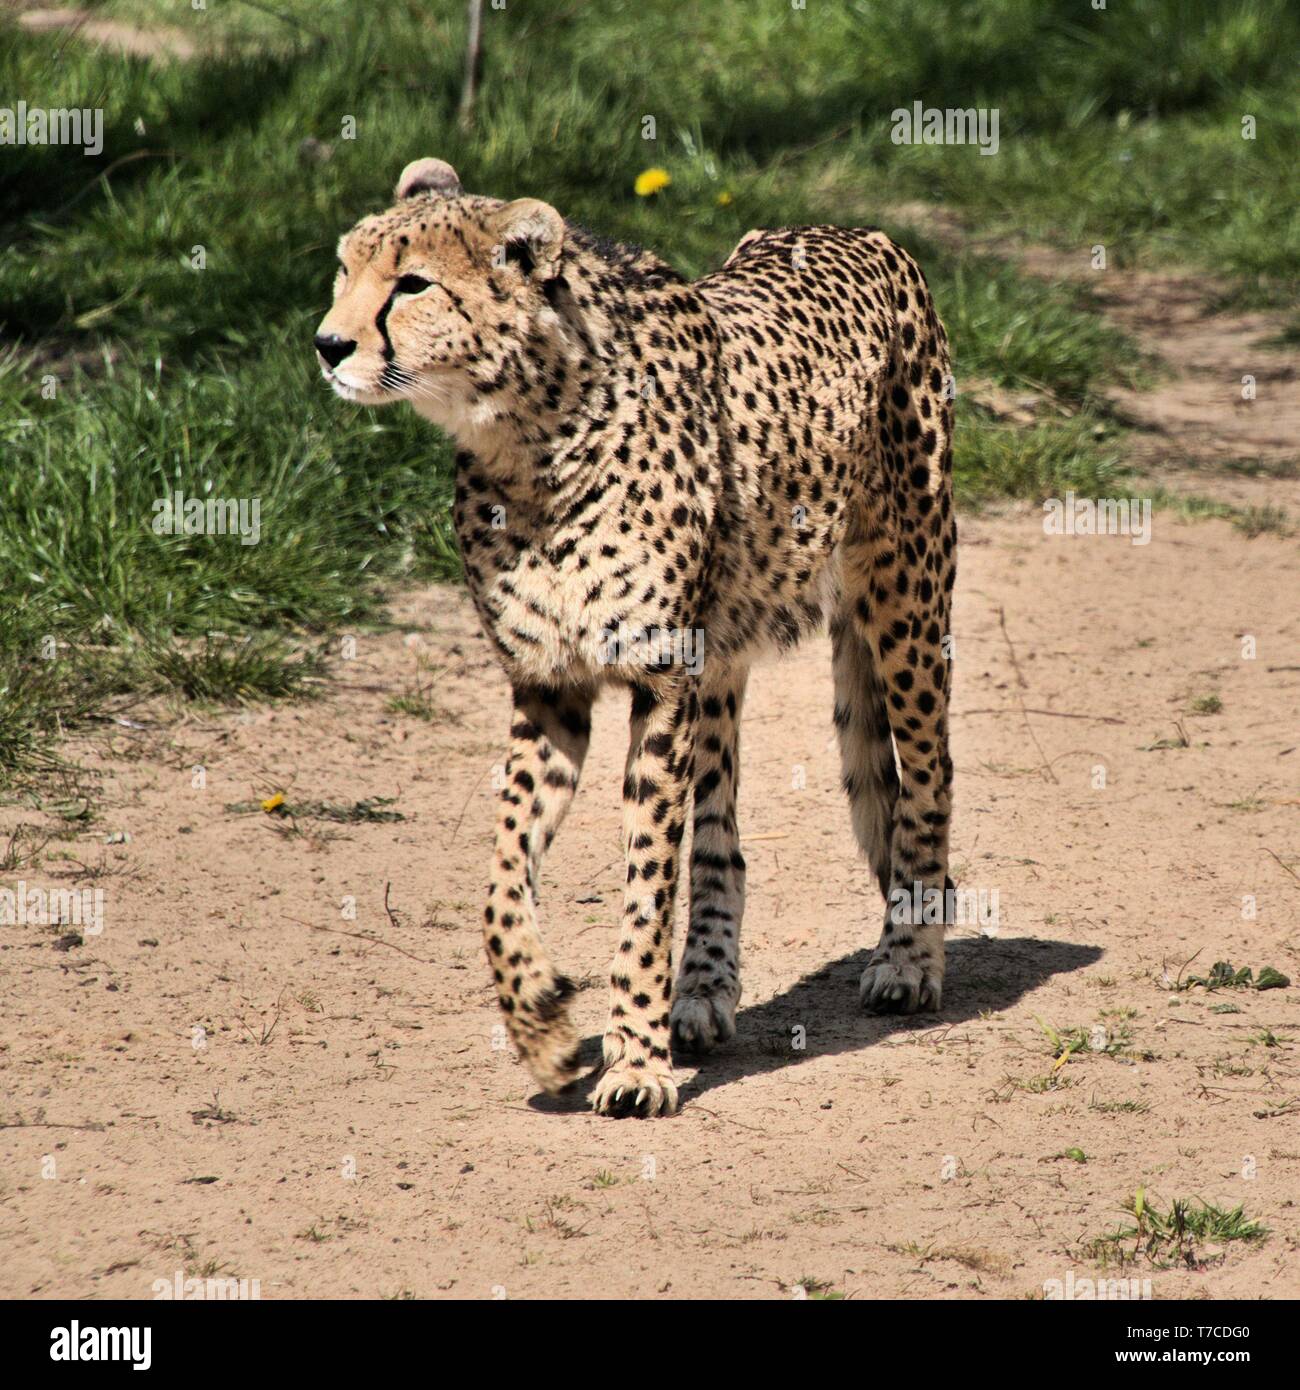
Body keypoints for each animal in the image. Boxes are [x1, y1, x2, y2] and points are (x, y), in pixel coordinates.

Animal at [315, 157, 958, 1118]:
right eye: (345, 269)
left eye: (413, 284)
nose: (328, 344)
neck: (528, 441)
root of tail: (859, 232)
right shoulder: (550, 687)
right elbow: (504, 874)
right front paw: (542, 1023)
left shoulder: (658, 683)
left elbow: (647, 881)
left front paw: (636, 1062)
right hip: (724, 655)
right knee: (723, 839)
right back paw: (704, 993)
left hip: (905, 600)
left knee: (927, 773)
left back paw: (909, 960)